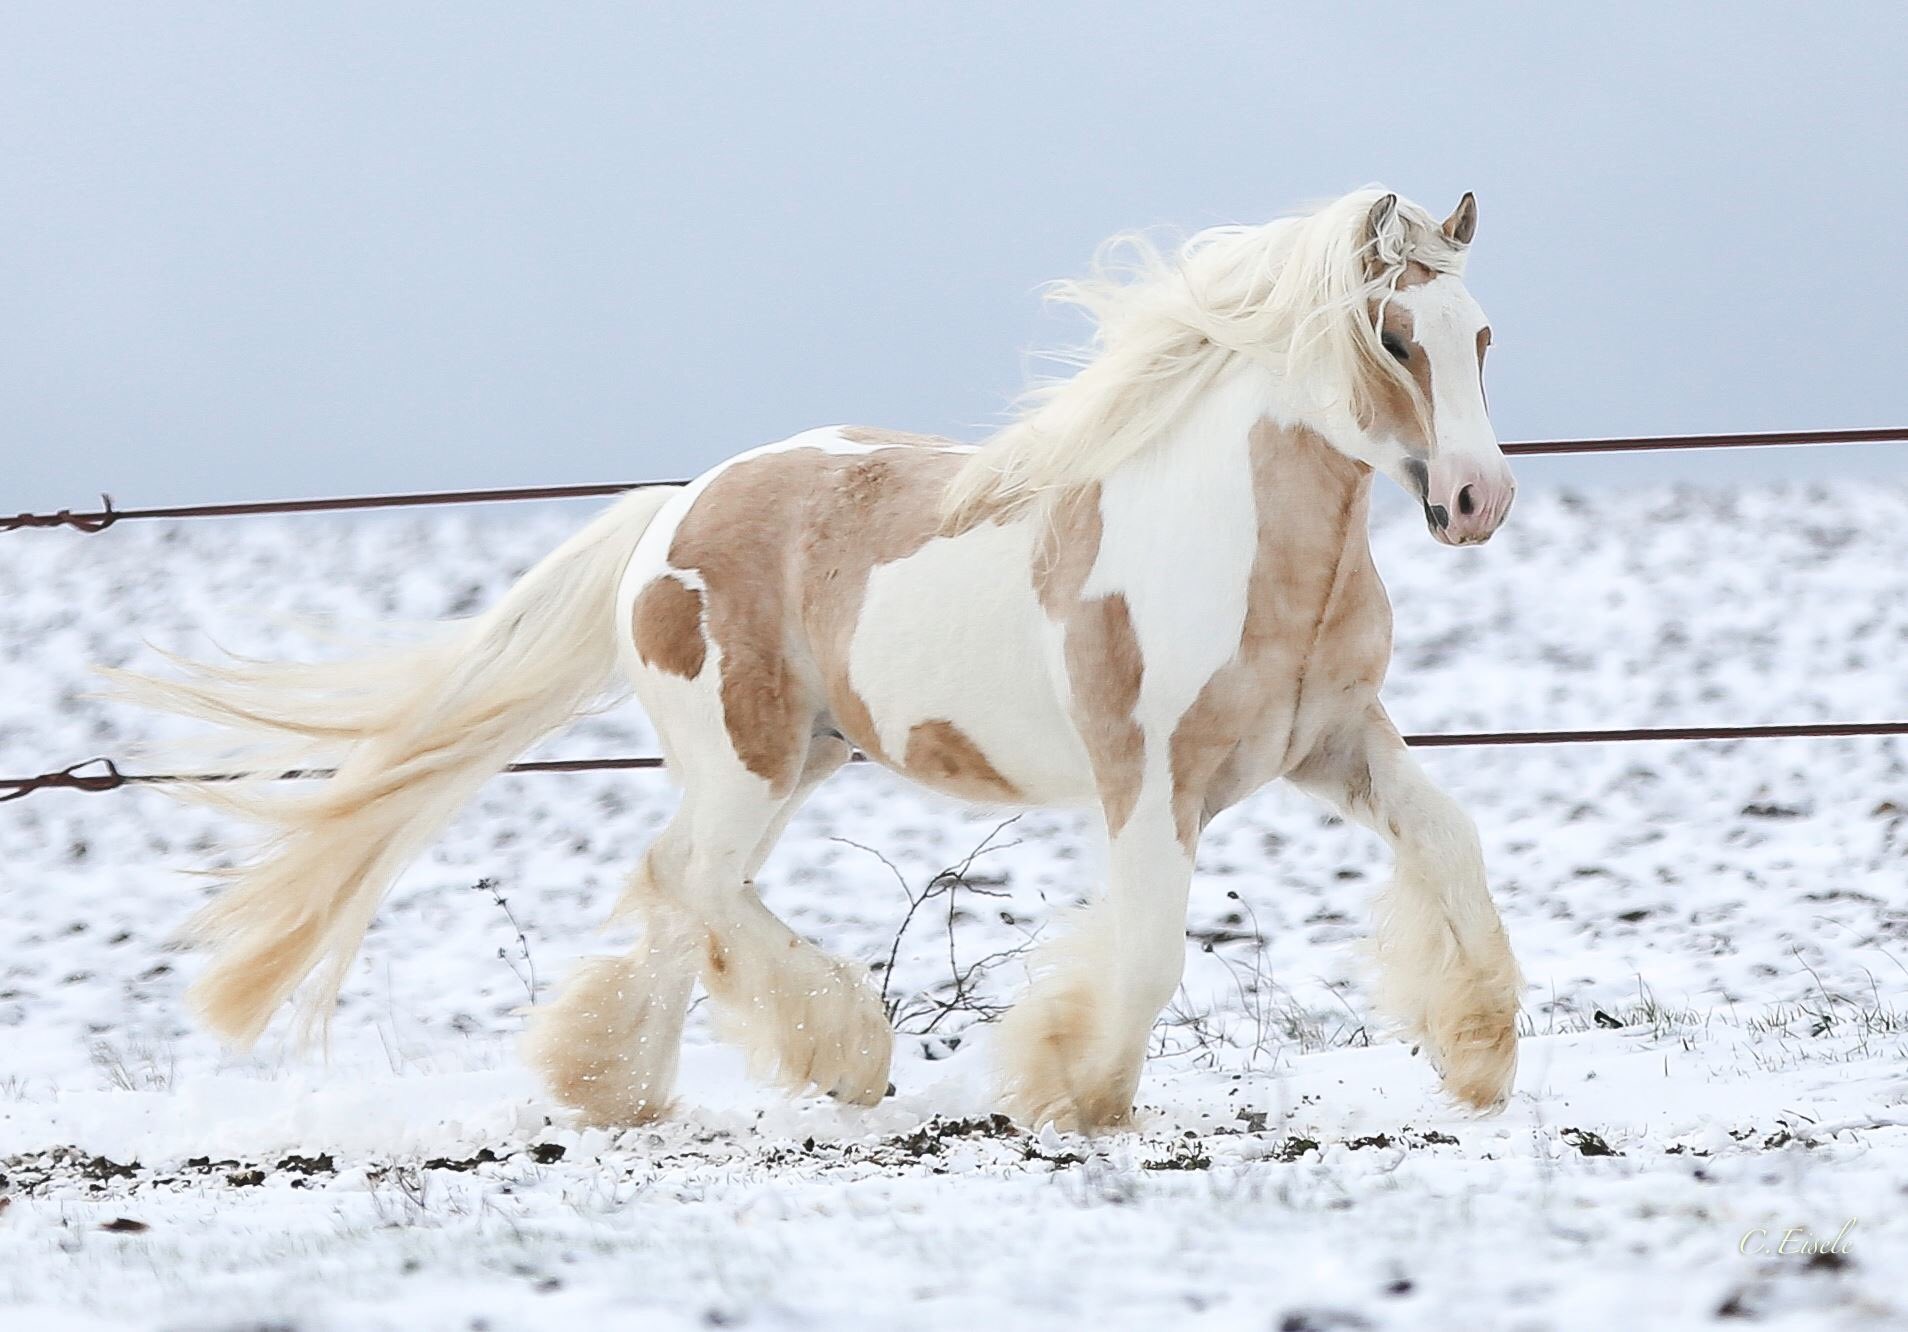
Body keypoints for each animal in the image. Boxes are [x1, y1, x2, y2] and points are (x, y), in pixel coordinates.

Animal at [115, 186, 1523, 1131]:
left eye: (1481, 335)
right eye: (1394, 335)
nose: (1477, 501)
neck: (1240, 542)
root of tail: (668, 514)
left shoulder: (1332, 746)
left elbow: (1451, 843)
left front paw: (1480, 1059)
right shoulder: (1149, 778)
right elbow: (1148, 950)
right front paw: (1073, 1092)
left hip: (801, 758)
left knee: (680, 887)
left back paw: (616, 1087)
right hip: (746, 754)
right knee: (696, 879)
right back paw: (843, 1055)